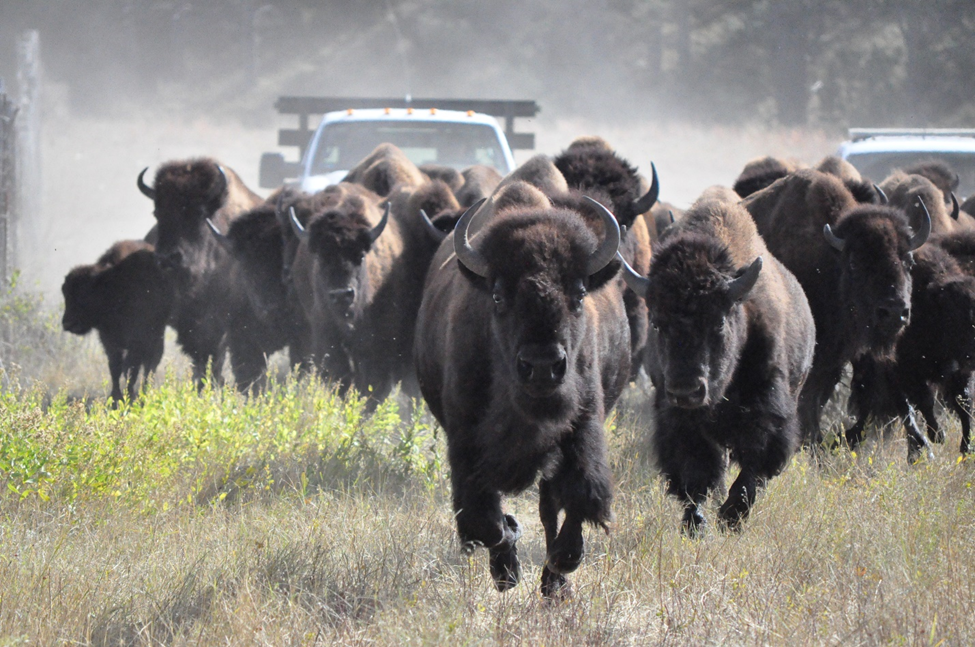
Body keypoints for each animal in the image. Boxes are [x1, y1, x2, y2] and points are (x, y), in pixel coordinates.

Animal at [62, 240, 175, 403]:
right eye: (65, 294)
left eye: (84, 294)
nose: (67, 323)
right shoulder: (109, 341)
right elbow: (115, 367)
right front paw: (115, 397)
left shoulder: (137, 341)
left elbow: (131, 369)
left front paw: (129, 396)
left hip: (157, 336)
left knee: (150, 365)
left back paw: (145, 393)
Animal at [414, 180, 630, 598]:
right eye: (498, 297)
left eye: (580, 294)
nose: (543, 366)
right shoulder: (467, 445)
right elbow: (486, 523)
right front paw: (508, 568)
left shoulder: (582, 427)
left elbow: (578, 498)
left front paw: (560, 572)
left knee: (550, 507)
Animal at [622, 198, 815, 533]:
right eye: (657, 323)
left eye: (719, 321)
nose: (686, 390)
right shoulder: (679, 418)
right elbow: (695, 470)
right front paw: (696, 523)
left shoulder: (768, 413)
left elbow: (753, 466)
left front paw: (730, 518)